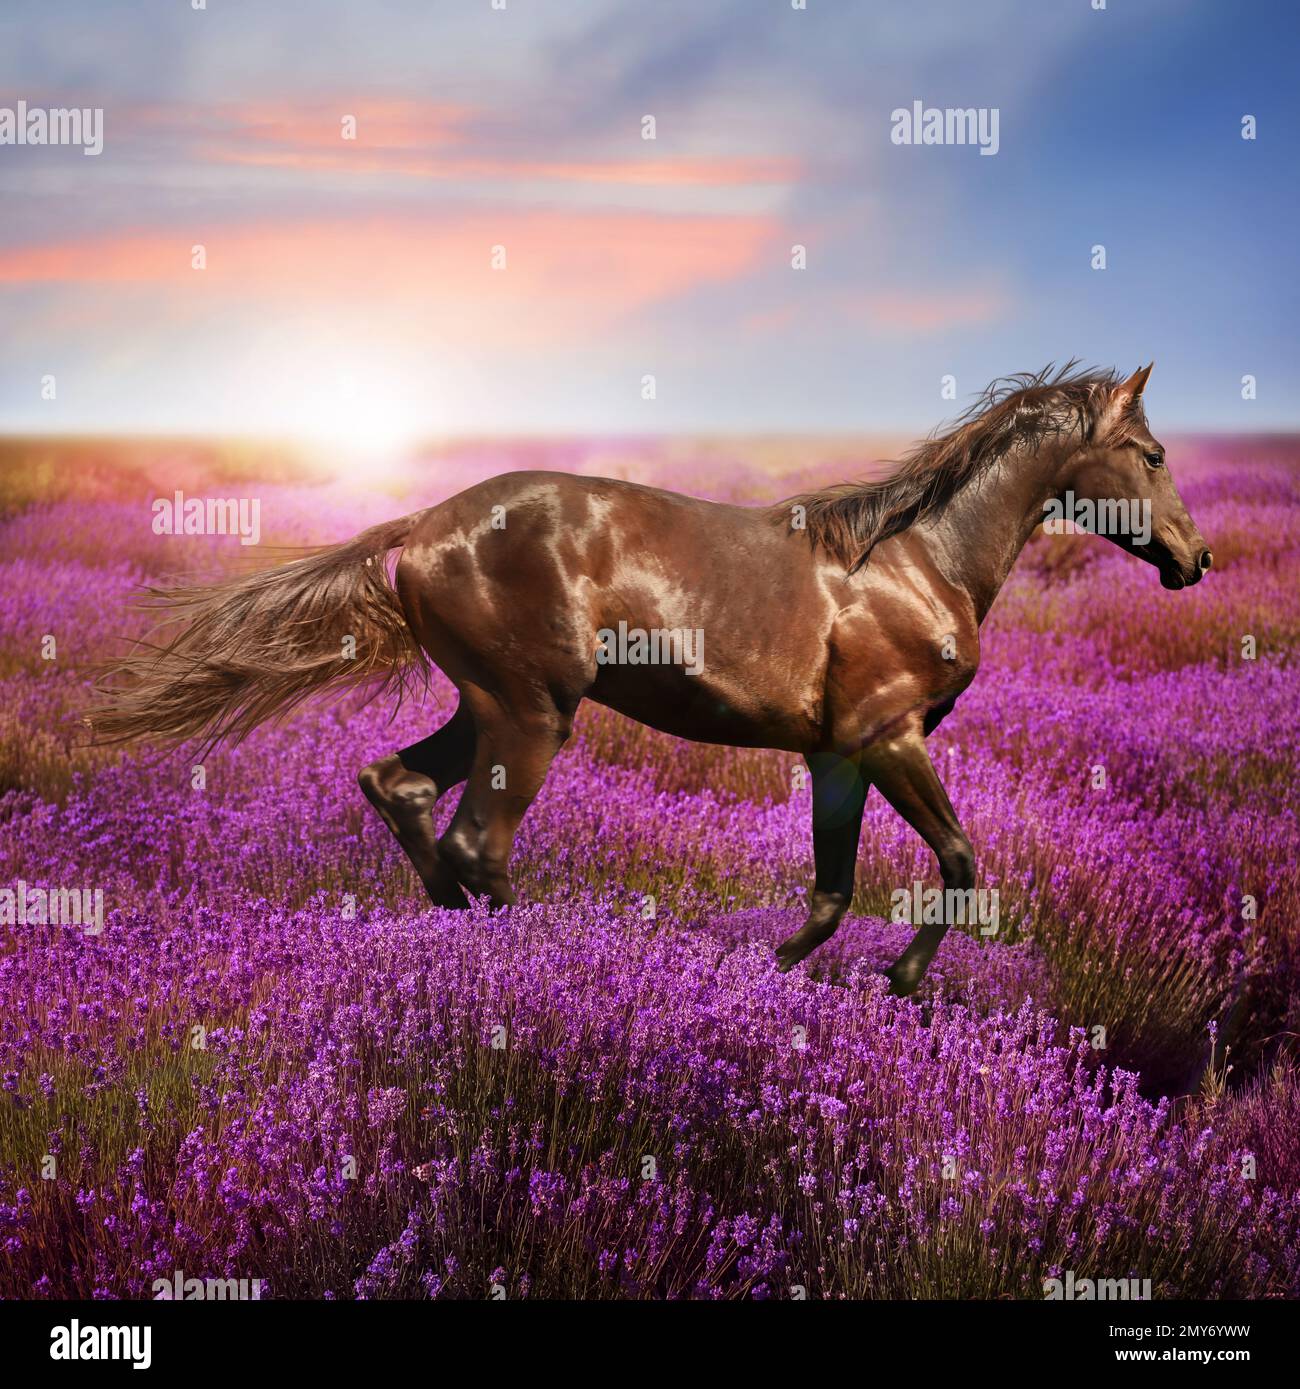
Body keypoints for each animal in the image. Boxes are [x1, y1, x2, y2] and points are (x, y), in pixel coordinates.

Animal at [92, 362, 1212, 995]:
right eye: (1153, 452)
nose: (1195, 558)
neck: (921, 557)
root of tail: (422, 524)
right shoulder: (890, 738)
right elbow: (961, 861)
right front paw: (897, 979)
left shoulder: (838, 757)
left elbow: (829, 892)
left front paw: (763, 979)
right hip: (530, 713)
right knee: (475, 841)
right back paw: (531, 955)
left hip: (487, 704)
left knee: (401, 790)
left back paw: (455, 932)